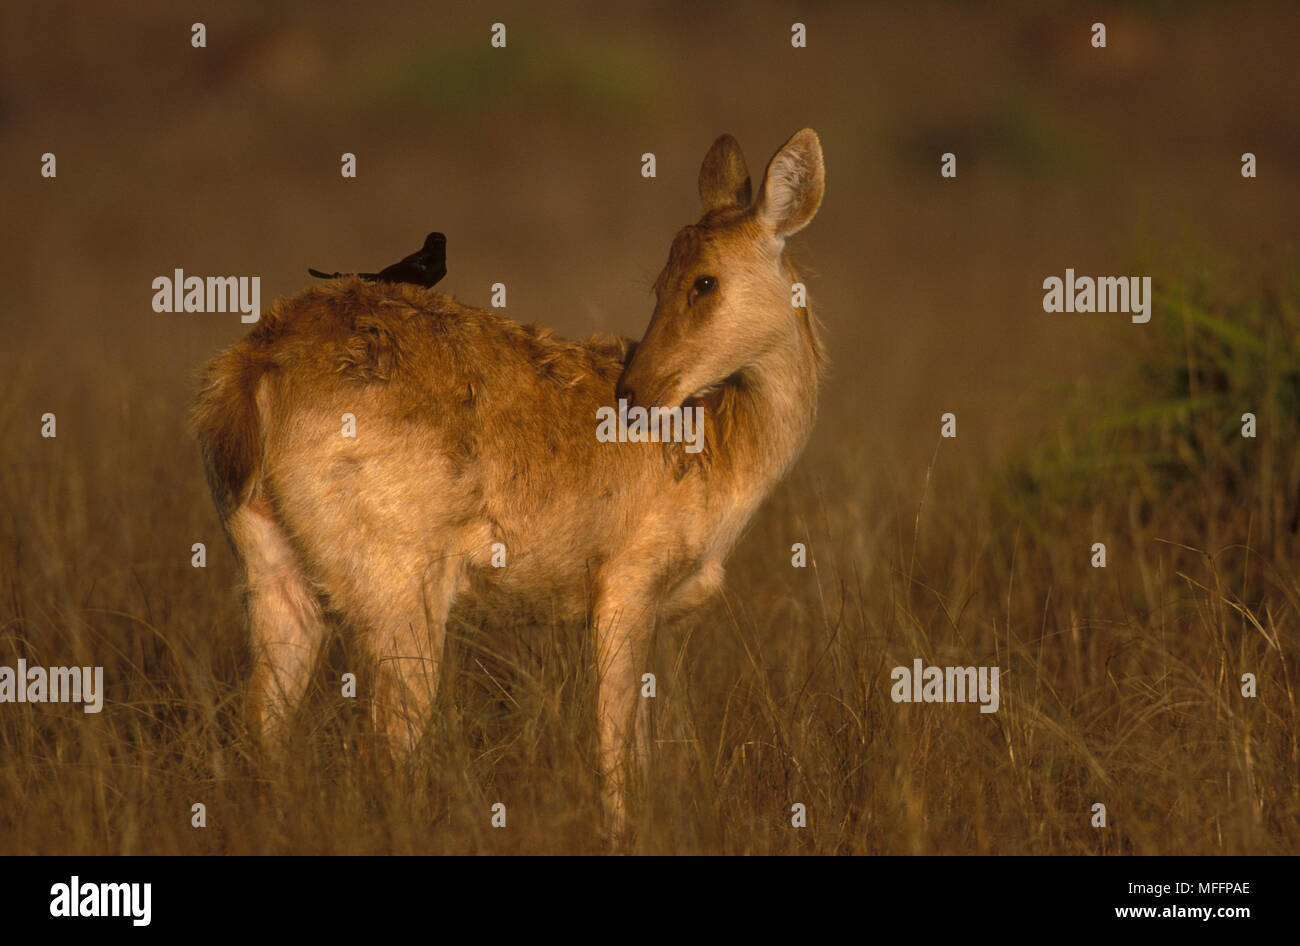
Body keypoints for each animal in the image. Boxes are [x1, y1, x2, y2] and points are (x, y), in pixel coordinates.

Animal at [192, 128, 826, 834]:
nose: (633, 393)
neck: (722, 448)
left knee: (262, 725)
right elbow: (616, 748)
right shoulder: (626, 583)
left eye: (703, 280)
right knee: (386, 749)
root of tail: (250, 371)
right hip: (399, 590)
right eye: (664, 281)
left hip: (273, 569)